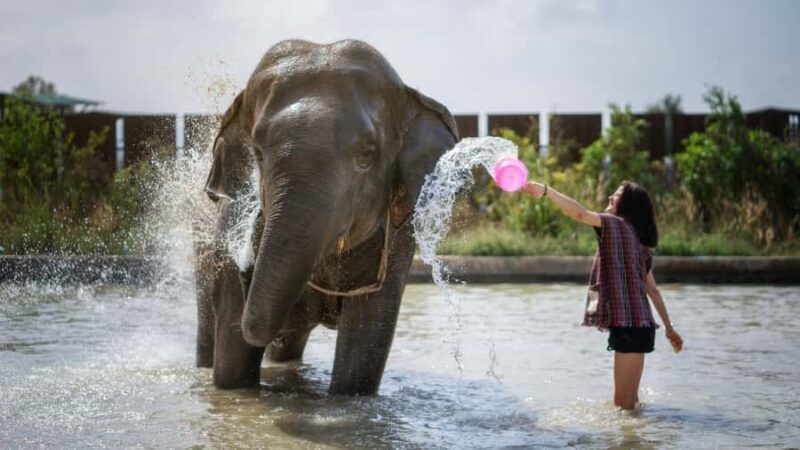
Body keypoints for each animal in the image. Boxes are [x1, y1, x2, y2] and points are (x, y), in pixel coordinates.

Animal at [194, 39, 458, 395]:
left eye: (367, 154)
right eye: (258, 154)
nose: (245, 269)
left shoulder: (399, 239)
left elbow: (364, 347)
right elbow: (232, 370)